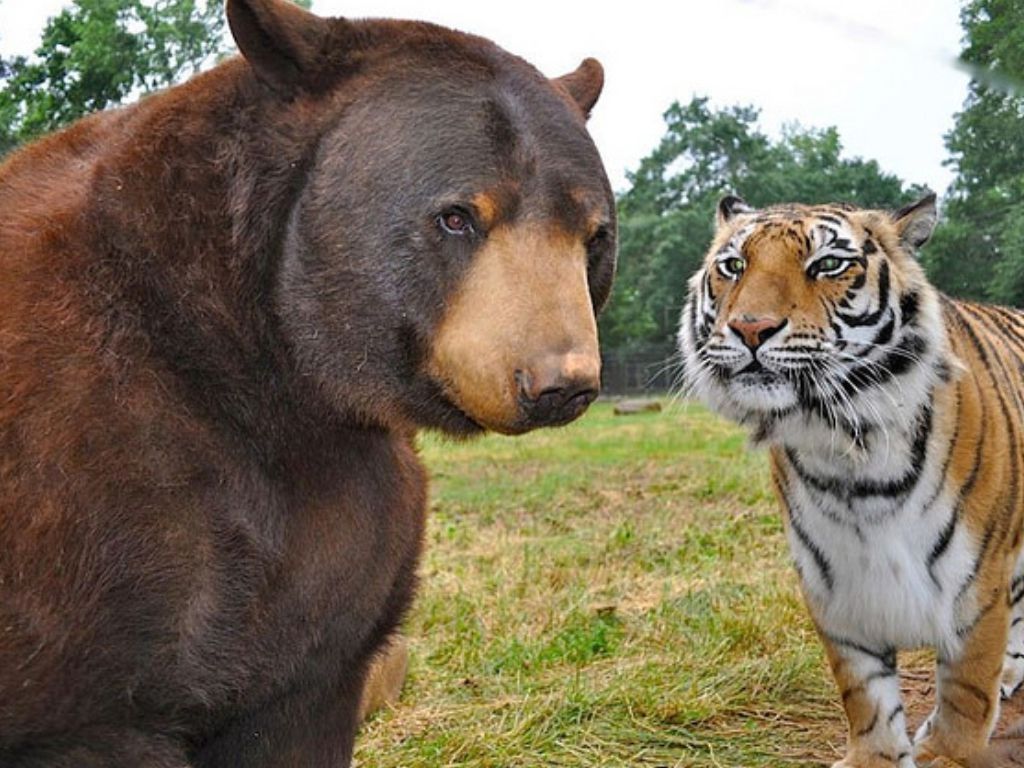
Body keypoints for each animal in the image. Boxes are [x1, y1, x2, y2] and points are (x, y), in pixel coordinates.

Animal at [677, 193, 1024, 767]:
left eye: (829, 265)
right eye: (733, 266)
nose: (751, 328)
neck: (850, 451)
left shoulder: (976, 580)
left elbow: (965, 687)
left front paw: (946, 753)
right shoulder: (835, 579)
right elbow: (864, 691)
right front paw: (876, 756)